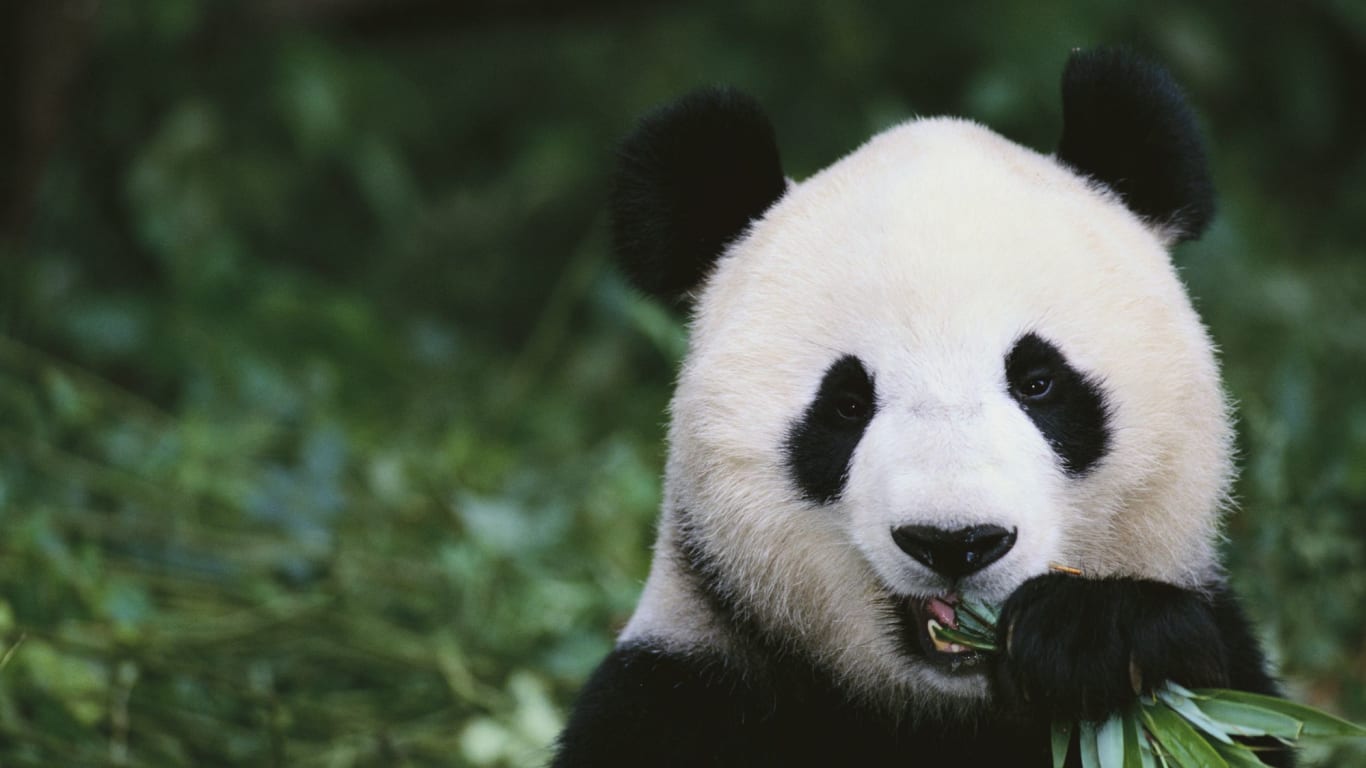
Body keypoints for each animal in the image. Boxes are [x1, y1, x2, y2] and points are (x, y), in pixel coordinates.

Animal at [554, 49, 1291, 767]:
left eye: (1038, 383)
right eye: (847, 404)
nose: (955, 541)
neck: (946, 710)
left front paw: (1095, 634)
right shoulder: (686, 686)